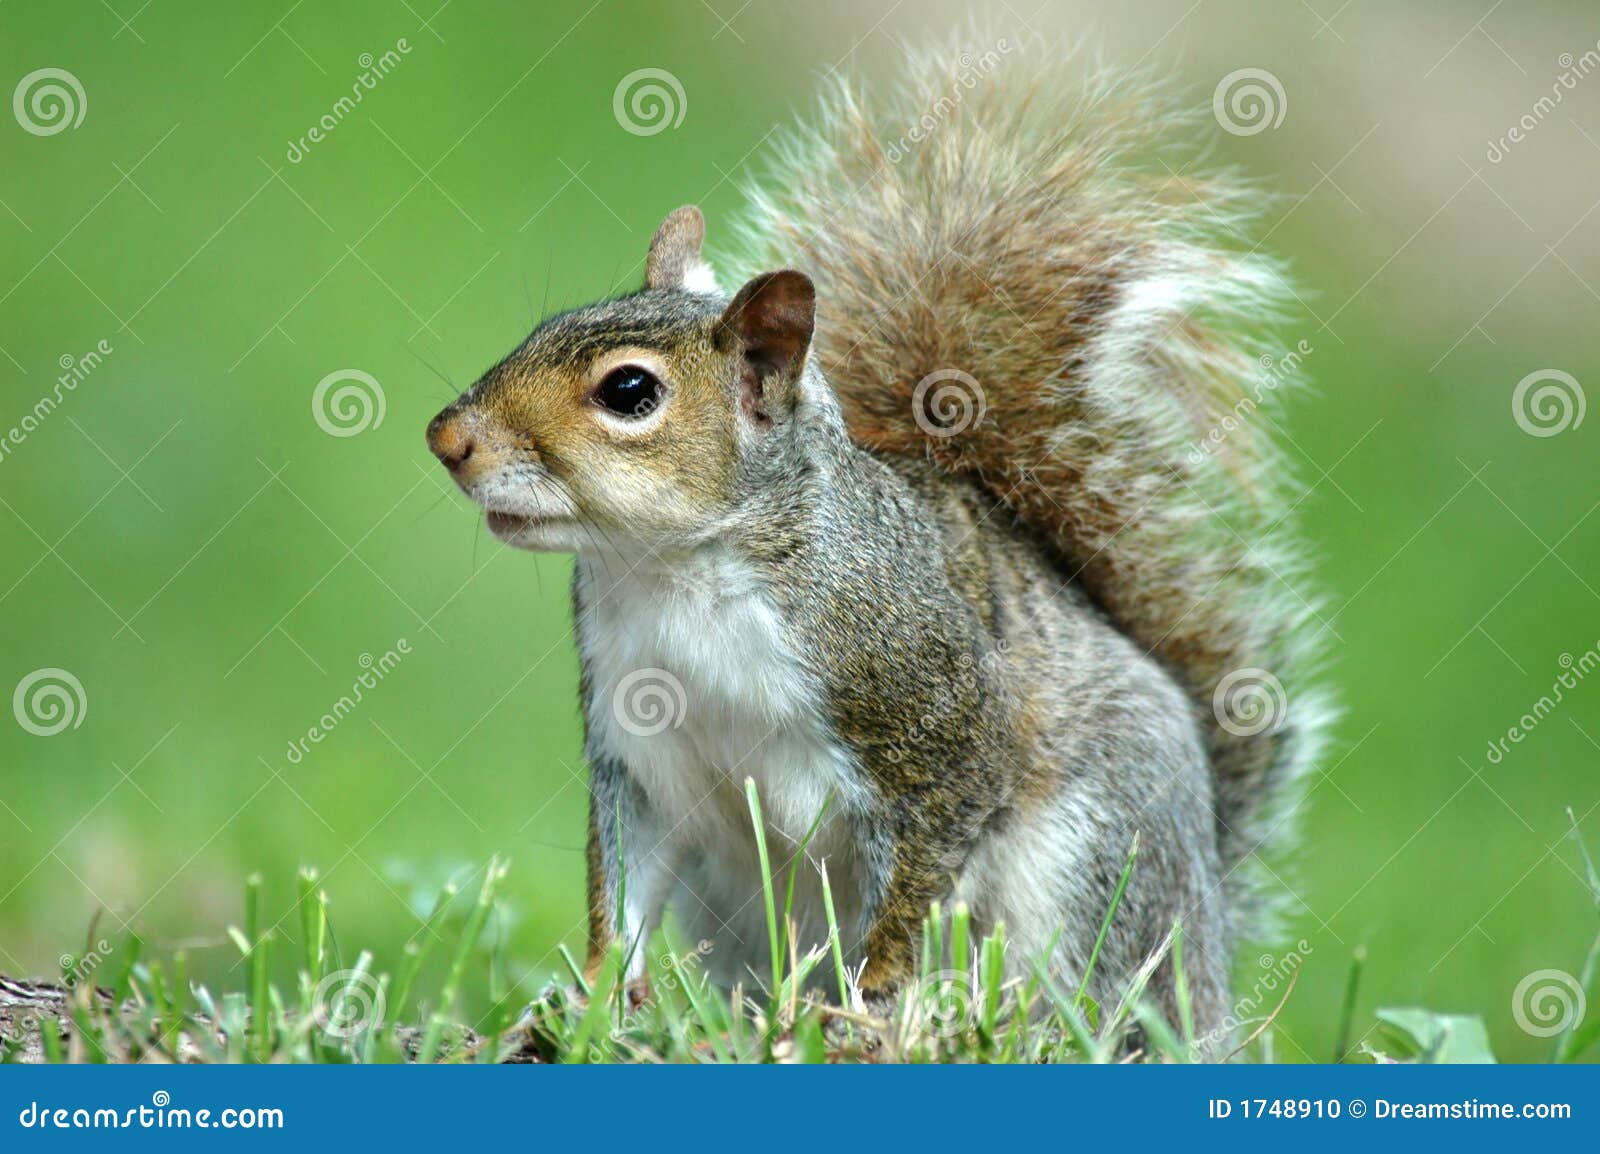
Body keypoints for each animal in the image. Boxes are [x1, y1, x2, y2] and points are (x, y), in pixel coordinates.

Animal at [426, 42, 1328, 1047]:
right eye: (543, 329)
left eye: (629, 392)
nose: (448, 438)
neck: (677, 575)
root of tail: (1210, 958)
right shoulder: (642, 754)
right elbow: (620, 891)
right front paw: (585, 1006)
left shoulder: (926, 714)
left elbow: (924, 863)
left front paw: (870, 1001)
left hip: (1092, 866)